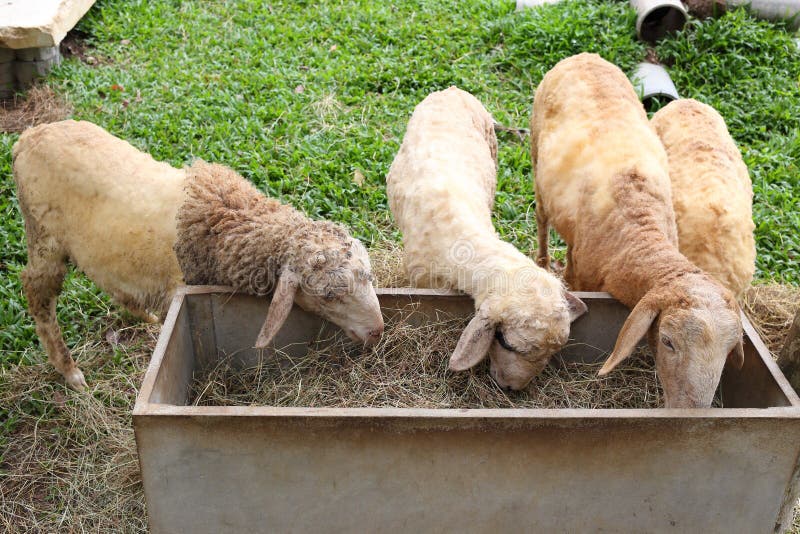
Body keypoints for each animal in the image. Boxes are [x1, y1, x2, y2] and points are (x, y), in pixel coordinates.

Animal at [13, 120, 383, 390]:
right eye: (329, 296)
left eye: (368, 277)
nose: (377, 331)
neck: (227, 217)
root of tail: (27, 137)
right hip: (43, 235)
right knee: (36, 291)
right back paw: (70, 370)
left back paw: (147, 319)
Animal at [531, 54, 744, 408]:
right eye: (668, 341)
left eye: (728, 351)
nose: (692, 412)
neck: (640, 235)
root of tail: (584, 56)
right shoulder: (585, 278)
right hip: (535, 153)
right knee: (542, 219)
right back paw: (544, 262)